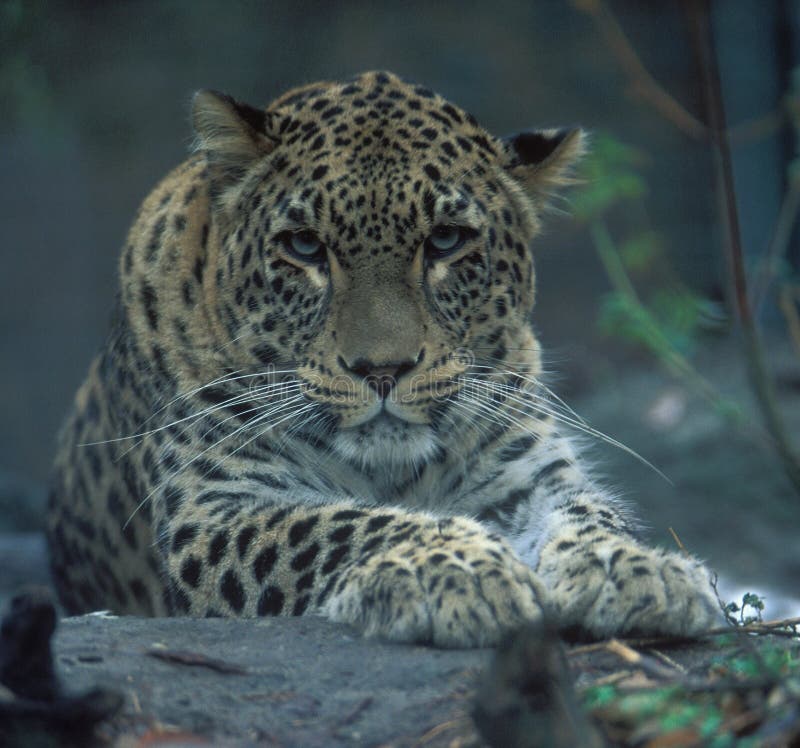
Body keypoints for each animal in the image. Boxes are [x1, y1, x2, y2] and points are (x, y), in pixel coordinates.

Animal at [47, 71, 720, 647]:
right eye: (304, 246)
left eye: (445, 240)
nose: (382, 370)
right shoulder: (213, 510)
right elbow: (338, 526)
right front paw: (454, 570)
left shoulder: (527, 477)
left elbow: (589, 511)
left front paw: (636, 569)